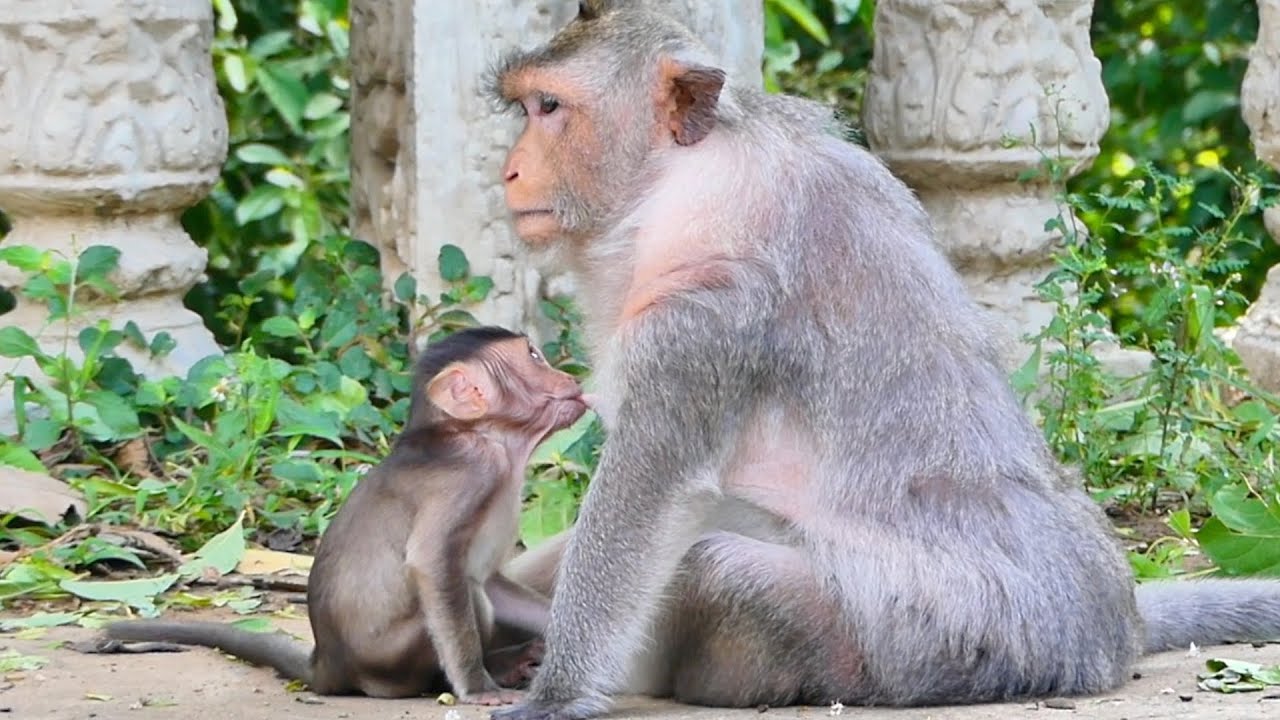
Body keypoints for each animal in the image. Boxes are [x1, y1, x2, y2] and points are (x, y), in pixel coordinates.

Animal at [104, 326, 589, 706]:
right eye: (534, 356)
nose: (570, 375)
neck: (482, 436)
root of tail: (328, 664)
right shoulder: (471, 475)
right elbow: (433, 565)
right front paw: (476, 687)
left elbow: (488, 579)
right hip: (389, 660)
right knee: (464, 597)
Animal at [477, 3, 1280, 719]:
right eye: (526, 107)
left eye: (550, 107)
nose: (510, 172)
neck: (687, 182)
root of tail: (1113, 629)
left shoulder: (707, 318)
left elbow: (646, 489)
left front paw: (556, 695)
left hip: (928, 641)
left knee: (719, 568)